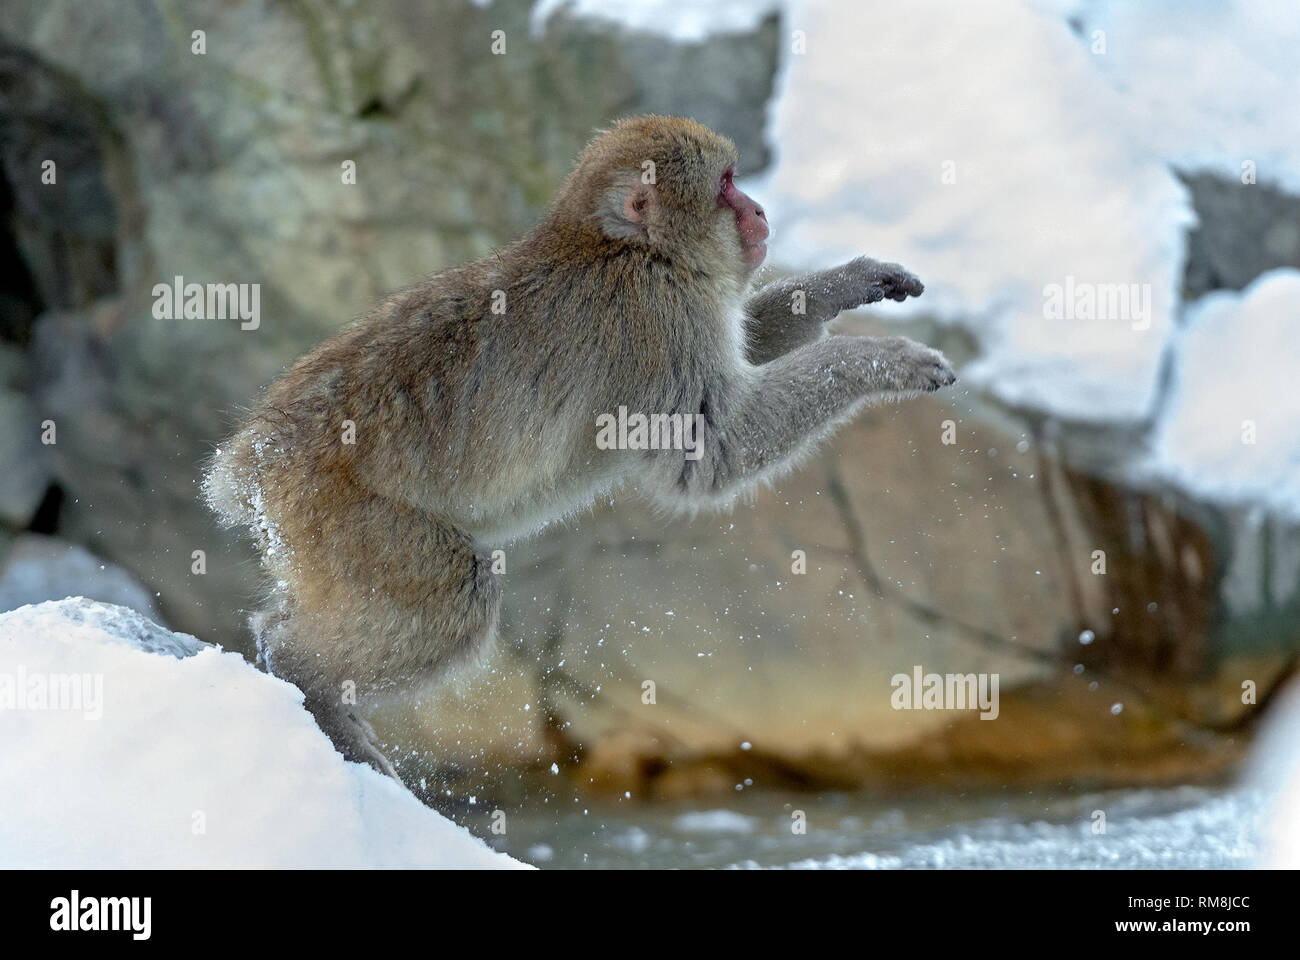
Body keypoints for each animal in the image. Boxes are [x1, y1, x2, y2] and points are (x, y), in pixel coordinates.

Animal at [203, 115, 954, 776]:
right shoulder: (657, 319)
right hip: (346, 516)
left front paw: (847, 283)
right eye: (727, 185)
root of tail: (252, 459)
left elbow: (742, 344)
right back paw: (304, 677)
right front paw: (885, 358)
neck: (632, 248)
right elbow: (708, 453)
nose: (760, 210)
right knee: (456, 597)